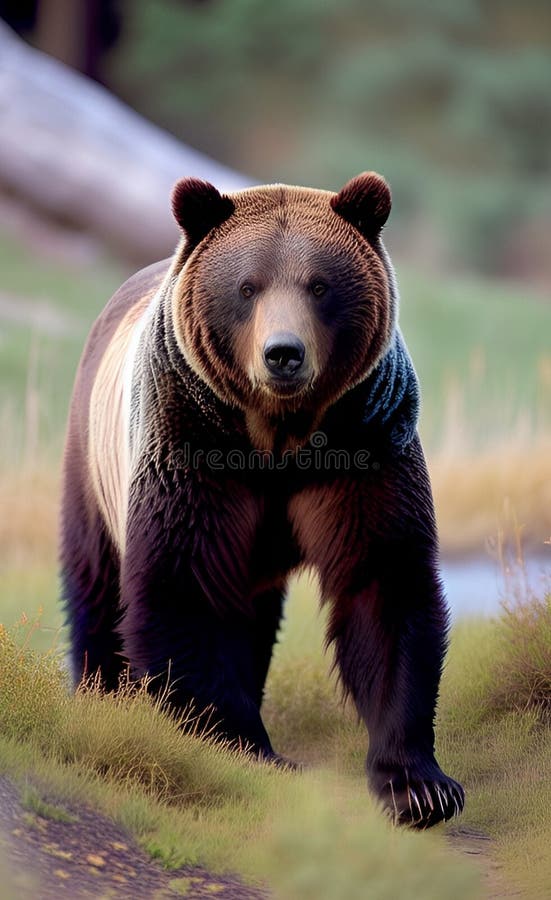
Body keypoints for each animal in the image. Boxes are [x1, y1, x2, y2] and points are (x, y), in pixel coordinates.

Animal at [60, 172, 464, 828]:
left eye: (319, 285)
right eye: (246, 287)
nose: (283, 353)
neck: (277, 438)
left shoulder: (366, 440)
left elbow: (384, 579)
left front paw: (418, 785)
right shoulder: (191, 443)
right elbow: (187, 583)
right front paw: (242, 747)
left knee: (254, 615)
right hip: (94, 459)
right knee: (97, 583)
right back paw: (101, 696)